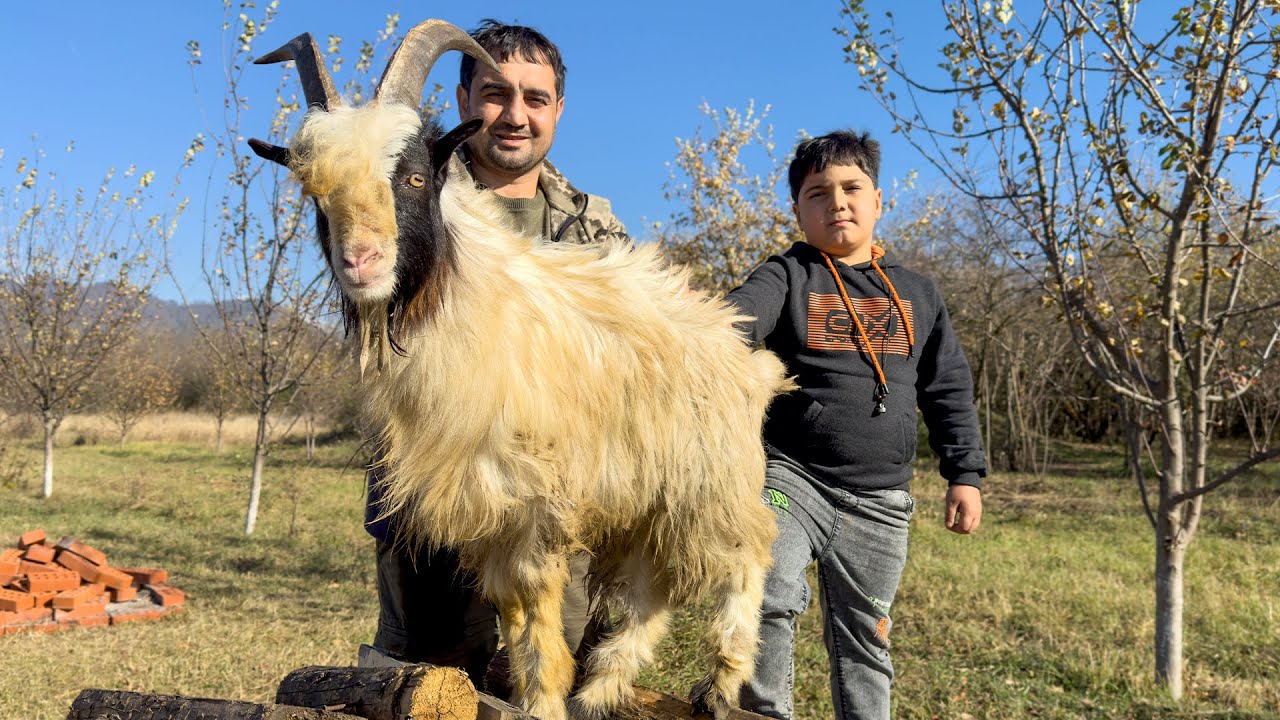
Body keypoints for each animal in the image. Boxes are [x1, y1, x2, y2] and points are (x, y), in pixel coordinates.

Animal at [249, 21, 791, 720]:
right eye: (316, 196)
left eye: (415, 176)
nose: (361, 262)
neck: (472, 302)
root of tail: (744, 352)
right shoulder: (491, 502)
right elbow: (513, 613)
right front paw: (548, 695)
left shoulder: (537, 498)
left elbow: (536, 616)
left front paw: (544, 700)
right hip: (647, 498)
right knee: (648, 592)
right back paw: (603, 688)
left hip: (713, 482)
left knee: (747, 557)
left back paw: (721, 683)